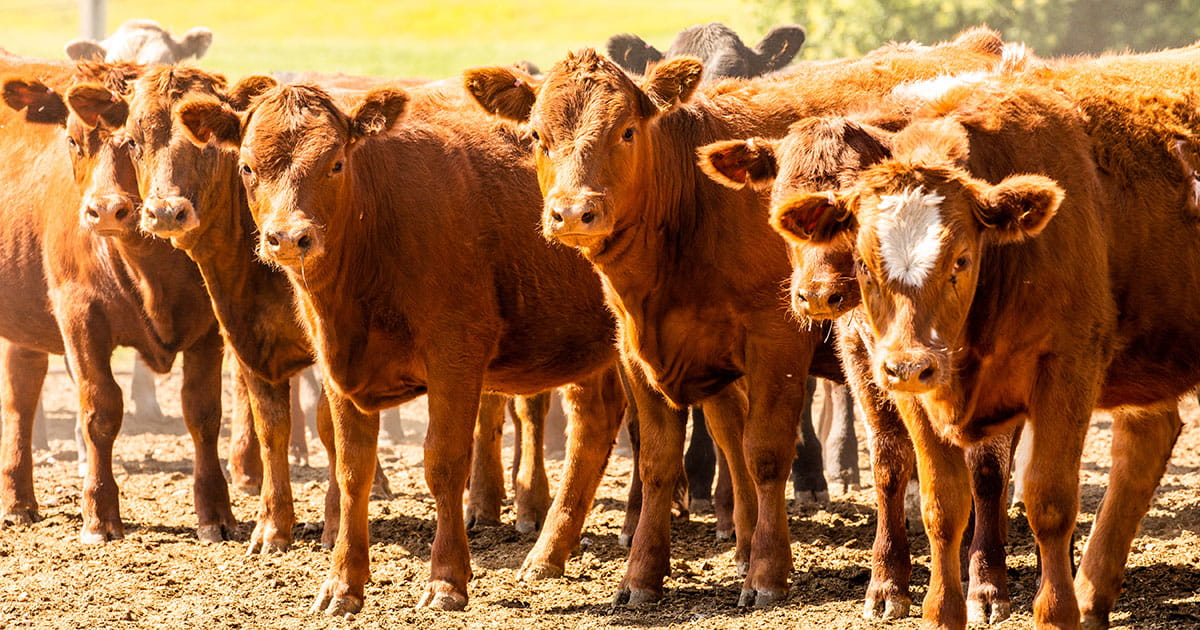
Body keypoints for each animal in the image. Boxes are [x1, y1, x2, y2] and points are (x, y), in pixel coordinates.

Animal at [0, 57, 233, 543]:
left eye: (128, 144)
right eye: (72, 139)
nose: (105, 210)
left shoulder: (210, 326)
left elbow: (204, 413)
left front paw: (216, 514)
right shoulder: (79, 314)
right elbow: (100, 410)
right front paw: (99, 514)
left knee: (20, 395)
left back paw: (17, 502)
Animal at [770, 62, 1199, 628]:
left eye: (961, 259)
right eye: (863, 261)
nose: (911, 364)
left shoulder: (1067, 367)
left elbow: (1045, 498)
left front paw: (1044, 608)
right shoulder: (906, 385)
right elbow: (939, 501)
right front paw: (937, 607)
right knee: (1146, 438)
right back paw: (1091, 597)